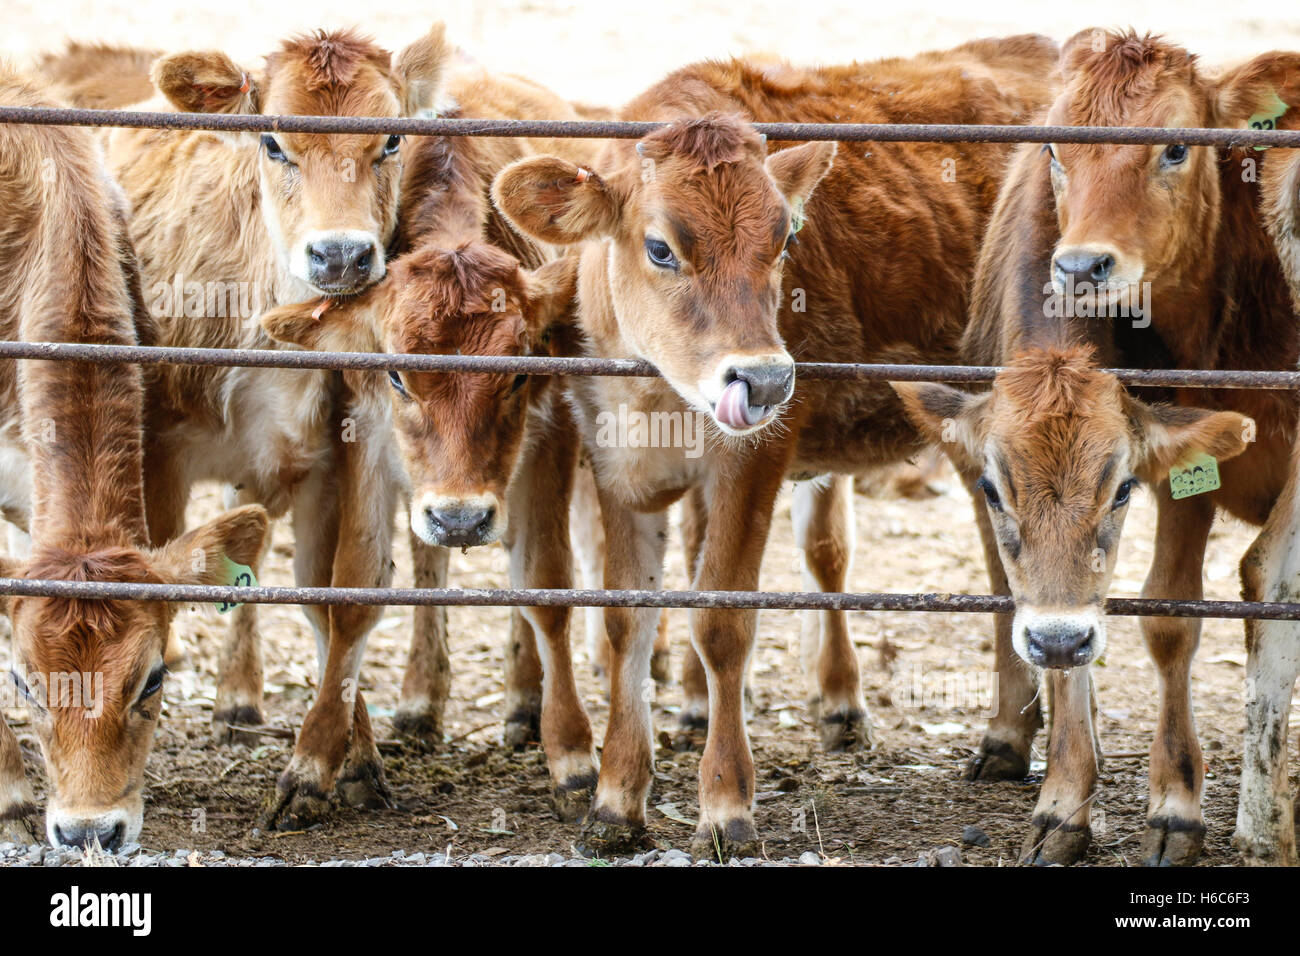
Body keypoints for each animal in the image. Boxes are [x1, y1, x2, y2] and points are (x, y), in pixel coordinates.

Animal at [98, 25, 454, 828]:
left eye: (392, 137)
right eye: (271, 141)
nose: (342, 253)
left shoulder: (343, 454)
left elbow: (340, 597)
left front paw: (339, 760)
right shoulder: (159, 454)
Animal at [491, 35, 1059, 856]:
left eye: (785, 236)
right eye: (659, 247)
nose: (761, 378)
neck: (660, 396)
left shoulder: (755, 457)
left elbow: (723, 623)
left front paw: (726, 805)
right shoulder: (613, 461)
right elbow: (628, 622)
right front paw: (615, 801)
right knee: (999, 549)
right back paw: (1008, 738)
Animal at [895, 348, 1250, 865]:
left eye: (1123, 489)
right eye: (990, 489)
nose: (1059, 640)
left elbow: (1171, 618)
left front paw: (1174, 814)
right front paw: (1060, 812)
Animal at [952, 29, 1300, 864]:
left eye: (1175, 146)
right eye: (1054, 145)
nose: (1082, 265)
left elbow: (1243, 591)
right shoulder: (1179, 464)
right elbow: (1145, 611)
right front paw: (1070, 805)